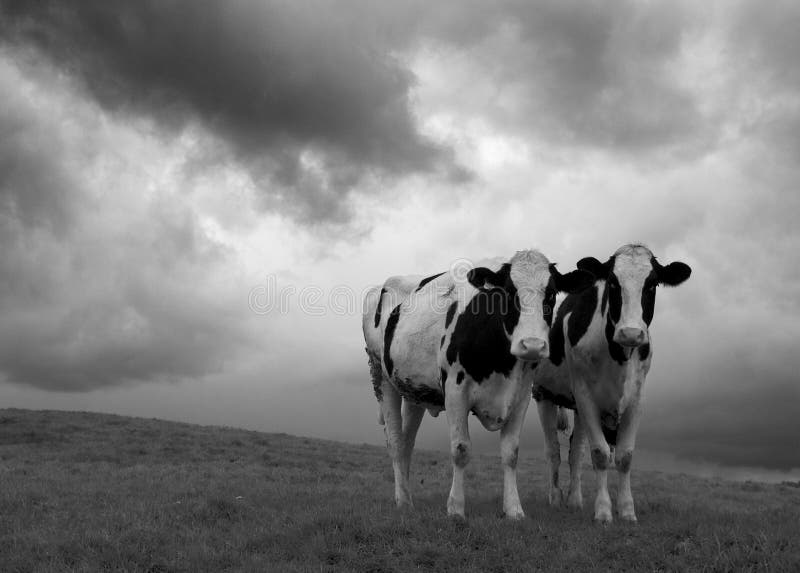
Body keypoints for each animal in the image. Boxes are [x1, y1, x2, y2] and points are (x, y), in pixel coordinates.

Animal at [362, 250, 592, 520]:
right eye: (508, 292)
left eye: (552, 294)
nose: (533, 345)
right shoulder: (455, 391)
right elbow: (460, 450)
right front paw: (456, 509)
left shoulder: (522, 395)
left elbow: (511, 453)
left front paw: (514, 509)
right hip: (381, 376)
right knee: (396, 442)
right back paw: (401, 500)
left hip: (413, 390)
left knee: (407, 441)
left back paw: (408, 497)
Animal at [528, 244, 692, 520]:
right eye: (613, 283)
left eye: (652, 284)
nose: (631, 333)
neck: (618, 357)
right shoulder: (585, 394)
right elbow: (600, 454)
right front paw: (604, 511)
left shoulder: (636, 398)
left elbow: (623, 457)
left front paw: (626, 511)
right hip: (544, 394)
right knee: (553, 452)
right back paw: (555, 498)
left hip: (577, 407)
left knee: (575, 454)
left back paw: (575, 500)